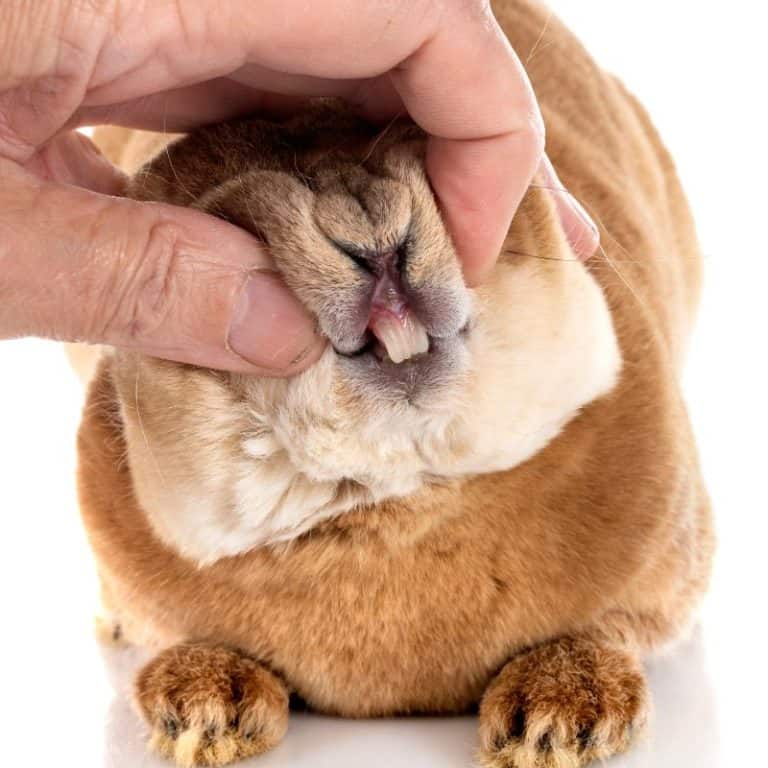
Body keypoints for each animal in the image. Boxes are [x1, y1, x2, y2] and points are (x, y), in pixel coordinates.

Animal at [76, 1, 714, 767]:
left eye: (429, 161)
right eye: (231, 228)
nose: (374, 235)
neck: (395, 498)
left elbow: (618, 625)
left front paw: (559, 714)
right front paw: (203, 705)